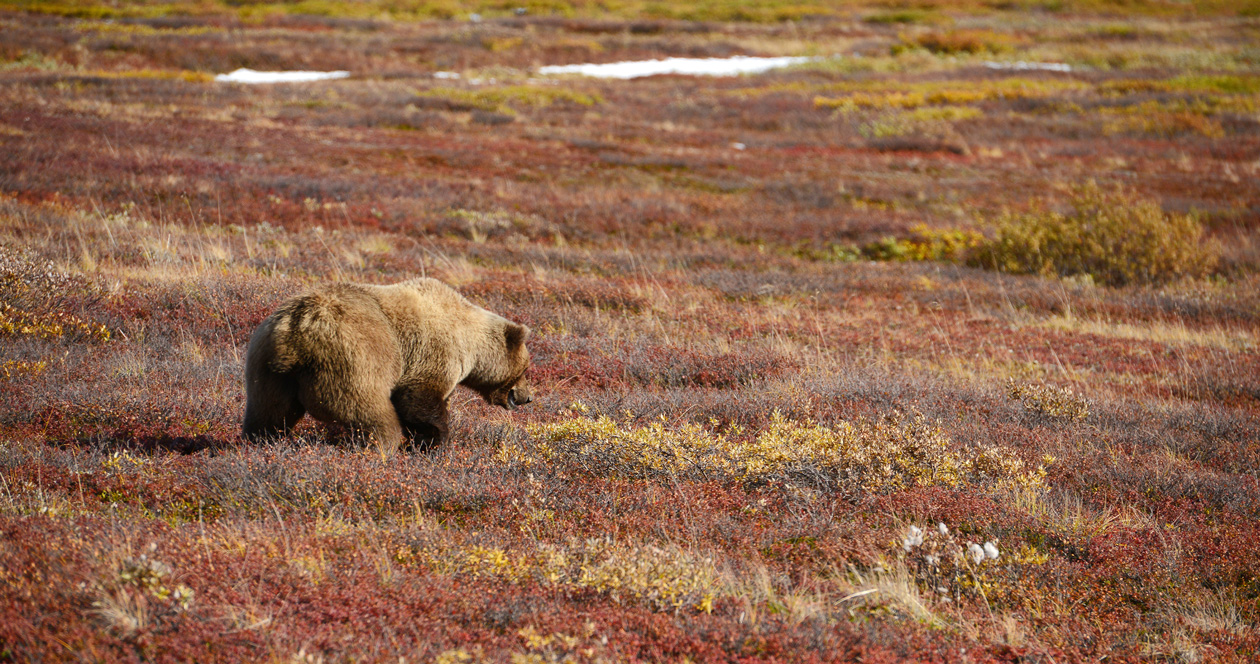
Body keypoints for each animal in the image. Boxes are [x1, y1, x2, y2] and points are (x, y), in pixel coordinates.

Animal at [242, 277, 532, 454]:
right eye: (527, 369)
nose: (527, 397)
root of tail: (296, 331)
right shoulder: (433, 353)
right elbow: (418, 400)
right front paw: (433, 443)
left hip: (265, 367)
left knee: (269, 413)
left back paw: (259, 443)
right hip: (356, 358)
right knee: (372, 413)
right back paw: (382, 447)